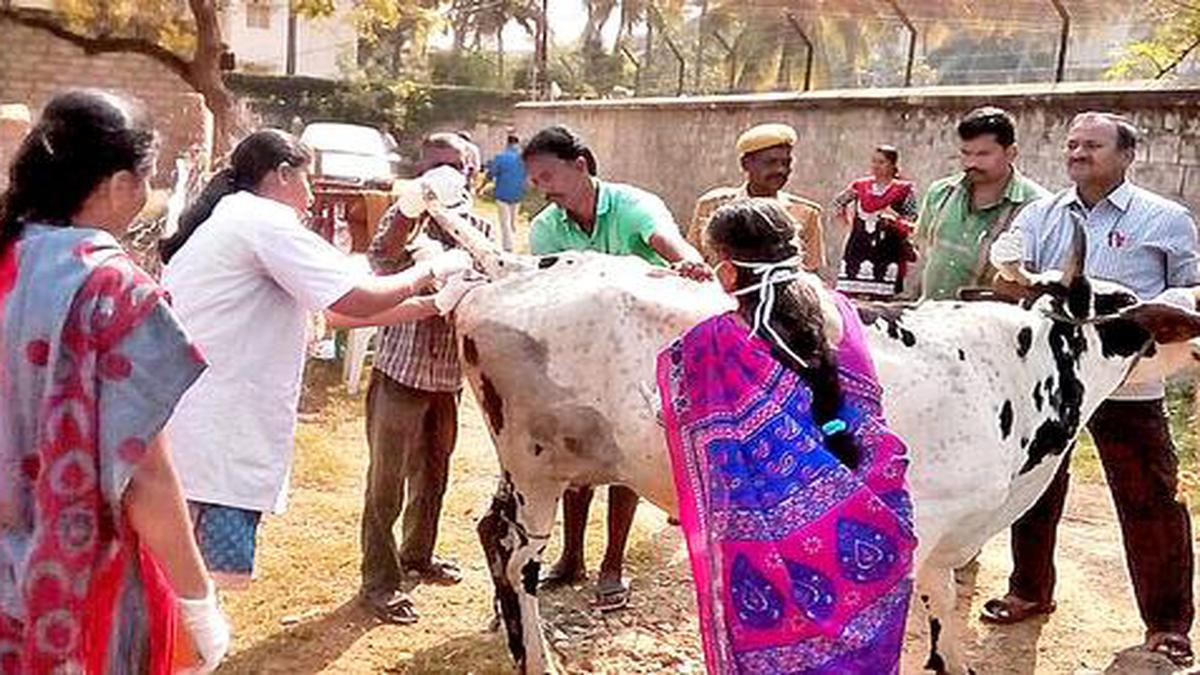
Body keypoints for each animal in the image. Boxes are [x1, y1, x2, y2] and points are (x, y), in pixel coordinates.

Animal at [419, 204, 1200, 674]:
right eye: (1132, 313)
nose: (1189, 341)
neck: (1014, 364)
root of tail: (518, 266)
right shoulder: (922, 531)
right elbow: (928, 620)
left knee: (489, 529)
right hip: (537, 465)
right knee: (516, 554)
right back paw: (536, 655)